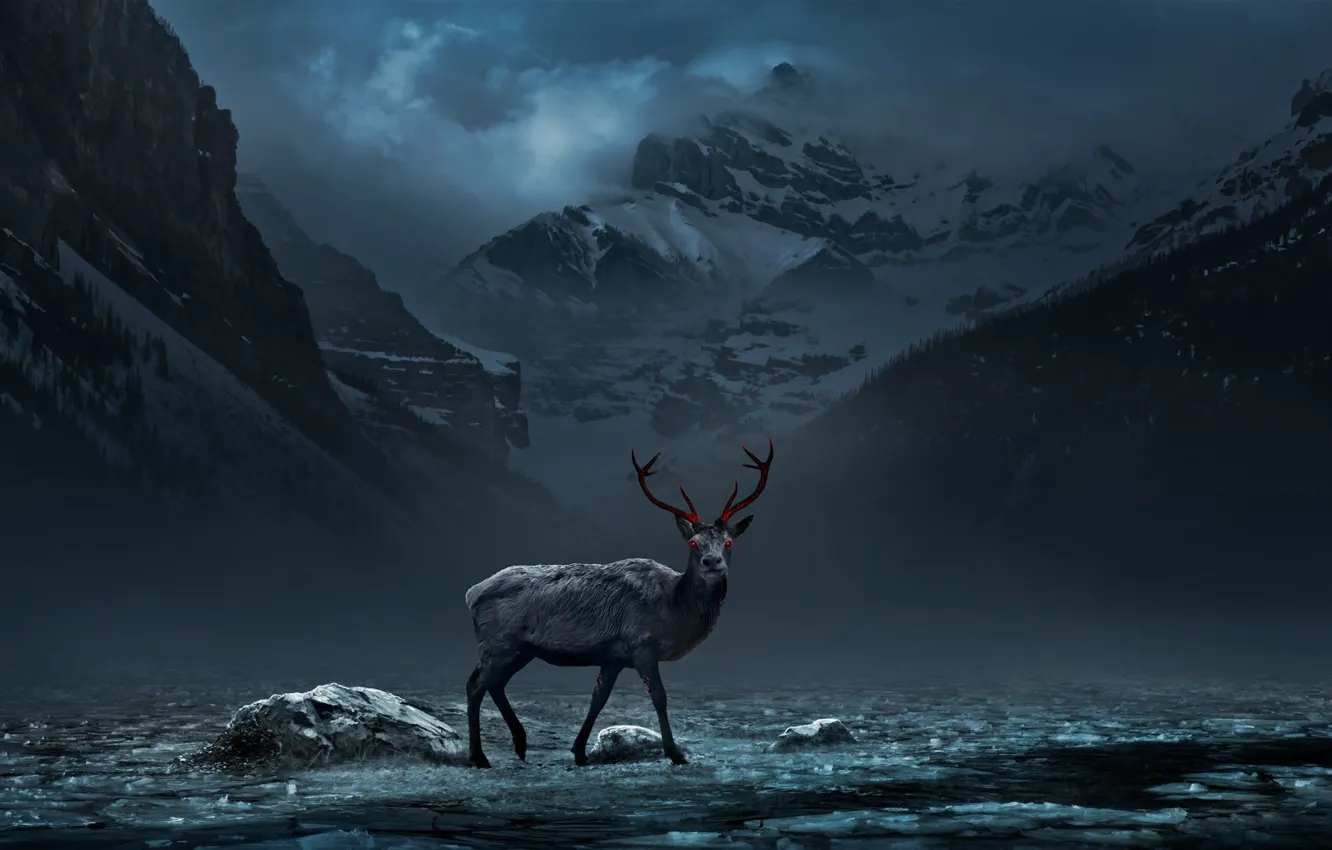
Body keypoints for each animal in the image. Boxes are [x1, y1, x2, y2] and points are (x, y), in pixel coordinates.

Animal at [462, 439, 774, 768]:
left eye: (728, 542)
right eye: (693, 543)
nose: (712, 561)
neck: (674, 609)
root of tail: (471, 593)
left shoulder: (613, 656)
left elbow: (598, 698)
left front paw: (580, 751)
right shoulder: (642, 646)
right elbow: (659, 697)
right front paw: (675, 753)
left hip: (522, 649)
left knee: (495, 684)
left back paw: (520, 743)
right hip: (498, 641)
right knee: (475, 685)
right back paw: (480, 756)